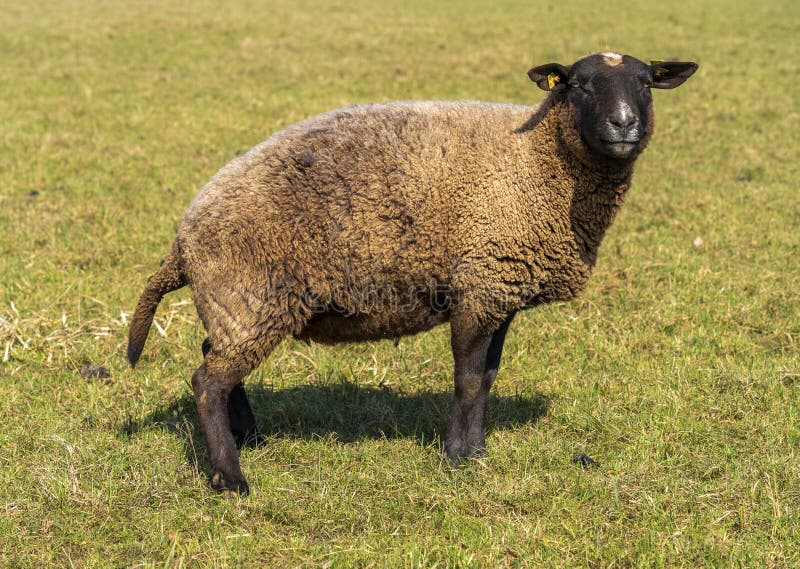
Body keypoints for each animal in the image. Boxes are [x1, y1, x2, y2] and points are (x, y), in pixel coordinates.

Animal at [128, 53, 698, 494]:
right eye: (578, 84)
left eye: (646, 83)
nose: (623, 124)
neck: (536, 163)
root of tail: (183, 240)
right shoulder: (479, 285)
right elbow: (467, 378)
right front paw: (458, 457)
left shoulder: (499, 291)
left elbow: (488, 377)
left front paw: (478, 449)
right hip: (250, 295)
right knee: (207, 381)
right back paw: (230, 479)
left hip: (239, 303)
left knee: (216, 362)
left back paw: (249, 438)